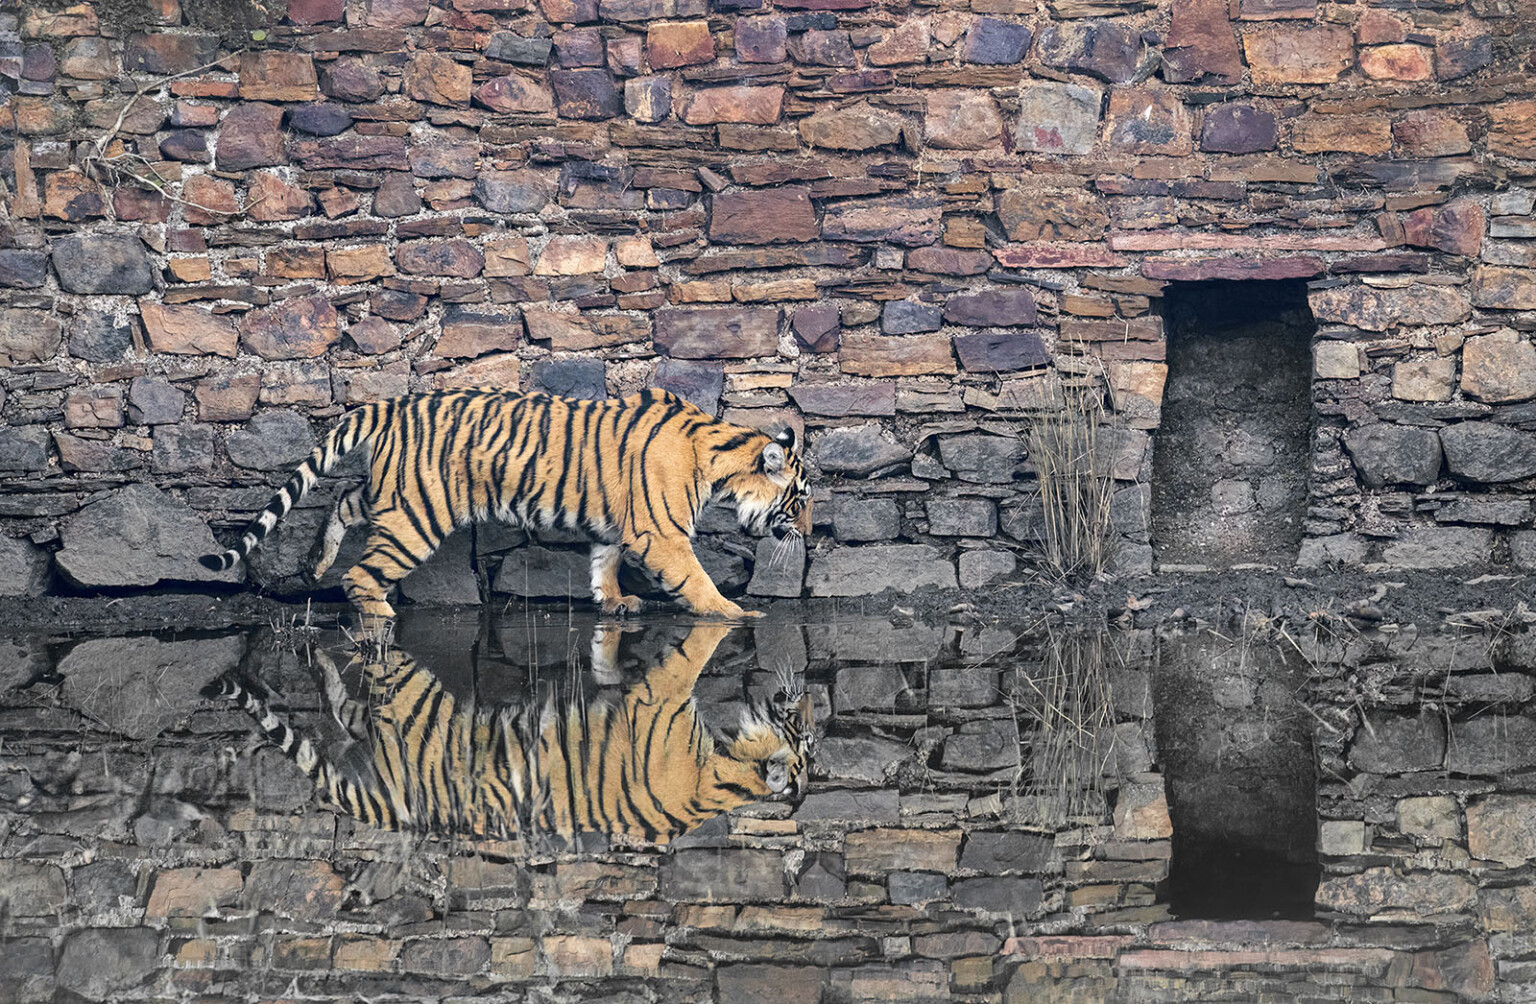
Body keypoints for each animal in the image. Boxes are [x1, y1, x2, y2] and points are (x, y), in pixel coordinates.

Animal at [199, 388, 812, 625]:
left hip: (389, 493)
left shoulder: (616, 523)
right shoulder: (659, 533)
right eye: (800, 501)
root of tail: (390, 404)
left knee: (347, 502)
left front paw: (614, 602)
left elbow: (604, 560)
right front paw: (734, 613)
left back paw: (315, 563)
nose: (810, 533)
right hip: (416, 515)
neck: (718, 458)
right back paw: (378, 612)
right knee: (362, 573)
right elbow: (695, 578)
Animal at [203, 622, 814, 843]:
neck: (726, 771)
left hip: (417, 708)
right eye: (808, 734)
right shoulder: (662, 693)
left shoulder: (661, 695)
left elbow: (688, 657)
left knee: (357, 695)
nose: (809, 698)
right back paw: (317, 651)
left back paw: (323, 654)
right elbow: (693, 649)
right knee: (348, 697)